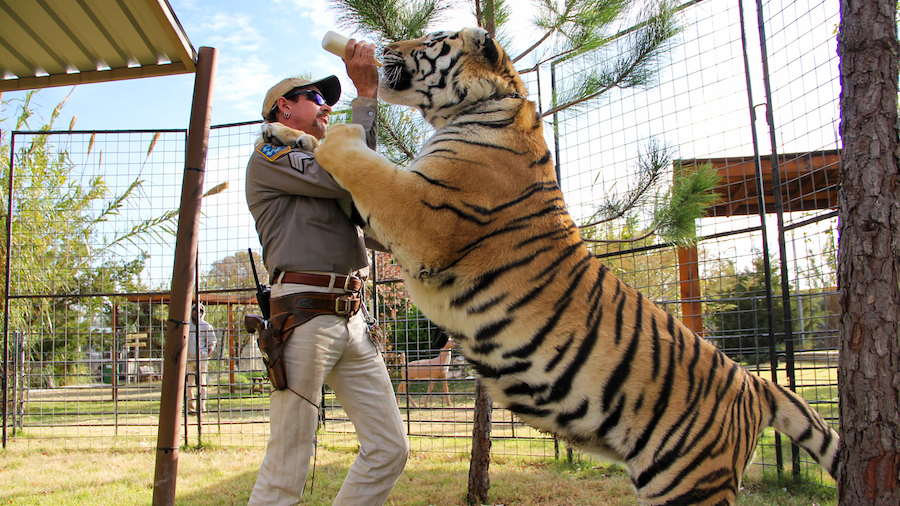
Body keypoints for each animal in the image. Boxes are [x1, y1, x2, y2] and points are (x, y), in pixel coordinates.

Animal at [309, 27, 839, 505]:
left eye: (431, 40)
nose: (383, 48)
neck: (485, 105)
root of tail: (754, 384)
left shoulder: (422, 214)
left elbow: (362, 163)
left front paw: (331, 133)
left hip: (689, 482)